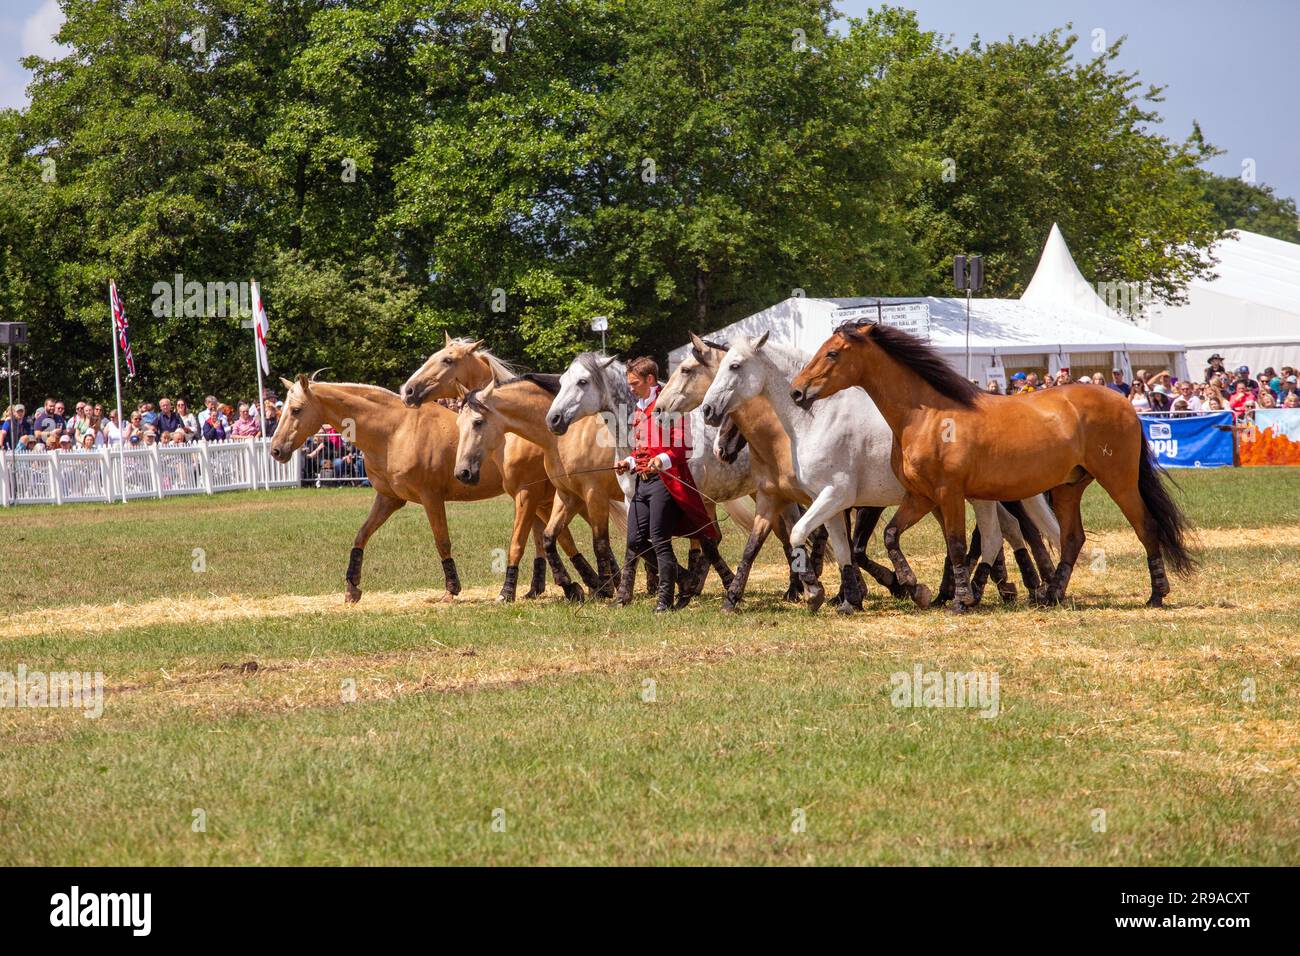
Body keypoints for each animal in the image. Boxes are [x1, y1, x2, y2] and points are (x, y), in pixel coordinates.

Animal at [268, 373, 586, 603]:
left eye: (296, 409)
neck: (394, 430)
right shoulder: (389, 499)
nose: (276, 450)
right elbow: (361, 536)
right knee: (544, 537)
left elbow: (441, 541)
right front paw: (352, 587)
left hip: (533, 495)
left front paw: (452, 589)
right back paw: (547, 587)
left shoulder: (431, 498)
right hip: (535, 497)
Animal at [545, 352, 759, 601]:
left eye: (583, 381)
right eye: (561, 382)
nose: (553, 419)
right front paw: (626, 593)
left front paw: (686, 582)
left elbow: (692, 541)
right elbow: (638, 543)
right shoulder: (631, 500)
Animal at [693, 332, 1061, 612]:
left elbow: (803, 535)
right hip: (971, 497)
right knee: (997, 534)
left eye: (735, 366)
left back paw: (1025, 589)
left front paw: (818, 591)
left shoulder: (838, 496)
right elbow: (838, 548)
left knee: (1010, 532)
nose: (709, 412)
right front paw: (846, 599)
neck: (815, 420)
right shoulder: (823, 501)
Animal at [789, 320, 1196, 609]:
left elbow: (956, 544)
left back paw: (1156, 594)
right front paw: (913, 586)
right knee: (1072, 538)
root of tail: (1123, 402)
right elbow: (892, 536)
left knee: (1145, 527)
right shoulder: (920, 496)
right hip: (1069, 487)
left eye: (832, 354)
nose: (796, 391)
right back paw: (1052, 594)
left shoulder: (948, 493)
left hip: (1119, 480)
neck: (927, 415)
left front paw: (959, 599)